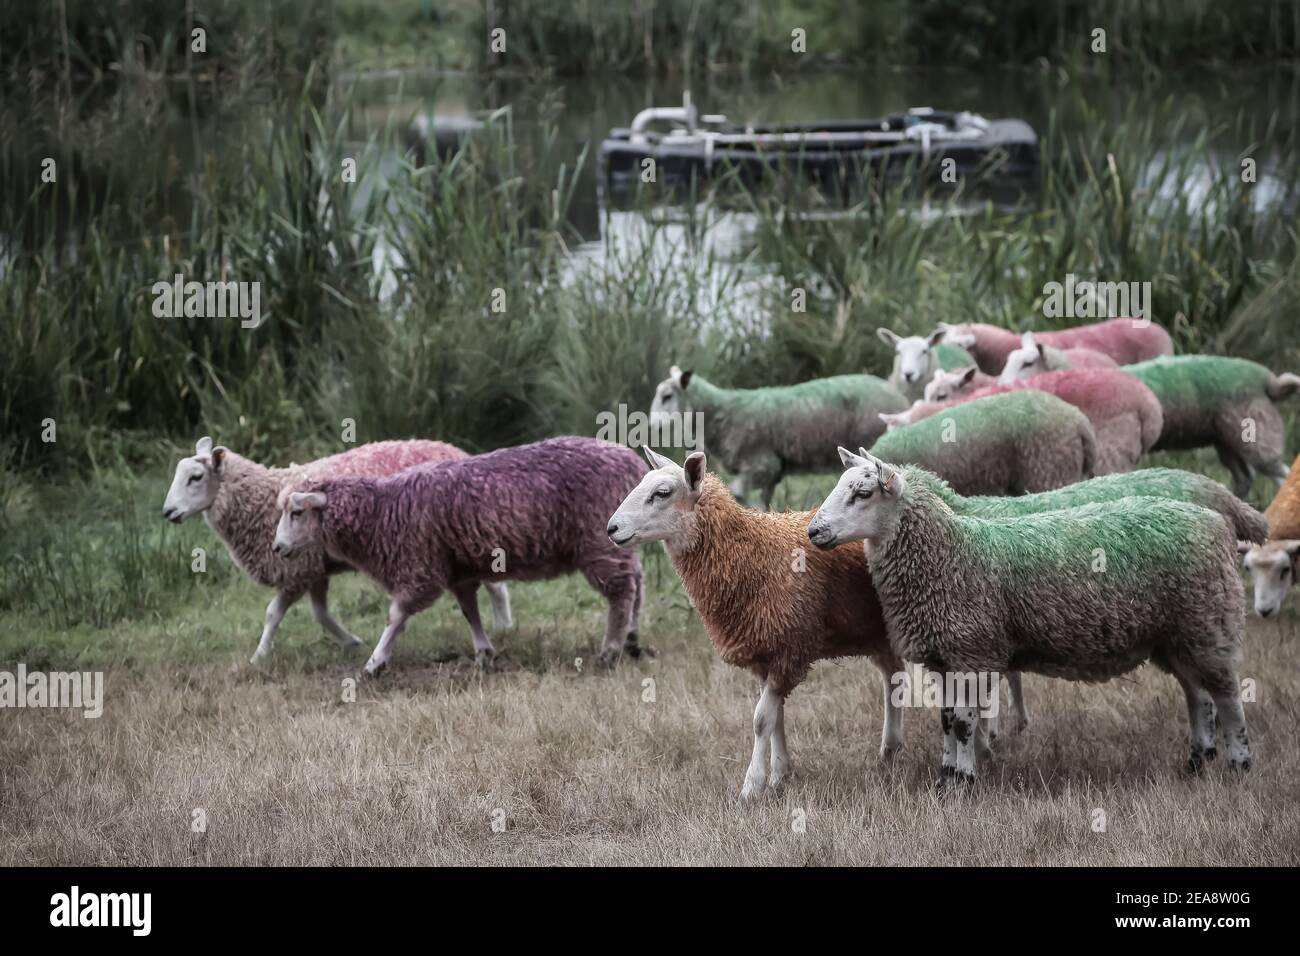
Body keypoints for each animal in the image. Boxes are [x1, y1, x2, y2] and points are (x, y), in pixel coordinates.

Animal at [162, 437, 511, 664]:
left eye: (195, 477)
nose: (167, 512)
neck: (264, 496)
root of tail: (456, 450)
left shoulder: (297, 569)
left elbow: (272, 614)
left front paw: (259, 656)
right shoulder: (315, 569)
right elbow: (321, 614)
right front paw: (351, 642)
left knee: (494, 583)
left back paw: (504, 625)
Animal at [272, 437, 646, 674]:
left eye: (296, 513)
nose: (276, 548)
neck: (382, 513)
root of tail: (630, 462)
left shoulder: (420, 569)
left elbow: (396, 616)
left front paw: (375, 663)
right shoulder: (457, 570)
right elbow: (469, 611)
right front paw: (483, 654)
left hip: (599, 545)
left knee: (622, 591)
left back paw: (611, 649)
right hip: (619, 541)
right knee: (638, 582)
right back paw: (632, 638)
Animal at [605, 446, 914, 801]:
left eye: (662, 493)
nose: (611, 528)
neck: (751, 554)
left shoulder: (788, 649)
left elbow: (761, 720)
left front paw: (752, 786)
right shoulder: (765, 654)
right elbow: (776, 717)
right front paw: (780, 774)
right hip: (874, 630)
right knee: (893, 674)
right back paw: (890, 749)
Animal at [648, 365, 909, 510]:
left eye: (667, 396)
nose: (652, 426)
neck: (722, 413)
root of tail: (900, 398)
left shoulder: (761, 464)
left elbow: (740, 494)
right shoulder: (773, 471)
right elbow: (763, 499)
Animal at [808, 449, 1252, 783]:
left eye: (863, 492)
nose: (814, 531)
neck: (952, 550)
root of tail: (1216, 520)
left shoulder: (972, 652)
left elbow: (965, 723)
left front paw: (965, 779)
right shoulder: (944, 657)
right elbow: (947, 720)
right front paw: (947, 776)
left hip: (1207, 623)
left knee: (1228, 696)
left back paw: (1239, 764)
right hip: (1177, 634)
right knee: (1196, 693)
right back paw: (1196, 760)